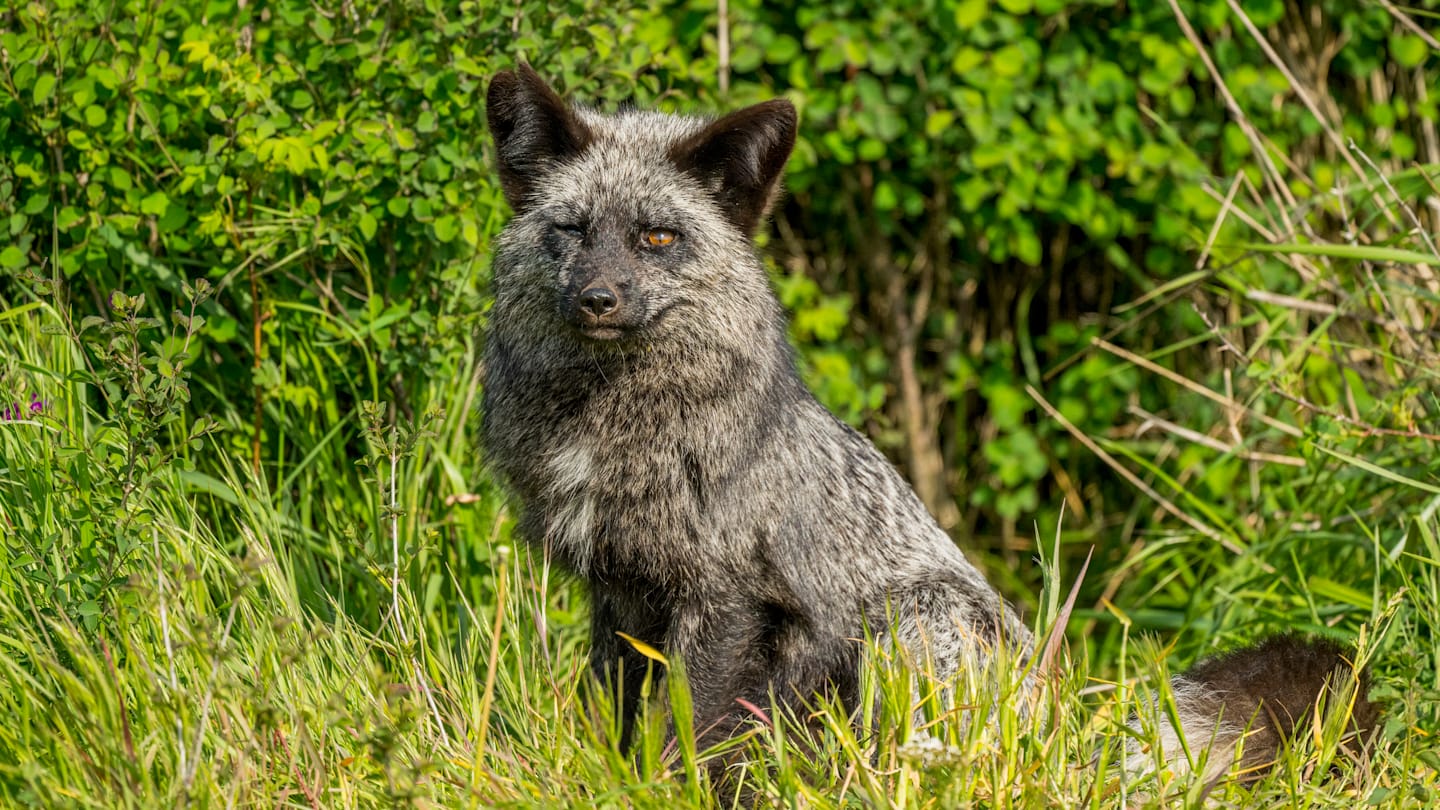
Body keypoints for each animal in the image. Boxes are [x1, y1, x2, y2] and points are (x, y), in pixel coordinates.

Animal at [479, 63, 1376, 790]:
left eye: (657, 237)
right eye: (571, 231)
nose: (597, 299)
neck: (617, 435)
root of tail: (1055, 732)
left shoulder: (726, 594)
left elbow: (686, 736)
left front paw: (674, 789)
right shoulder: (620, 595)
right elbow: (616, 720)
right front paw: (608, 780)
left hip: (908, 621)